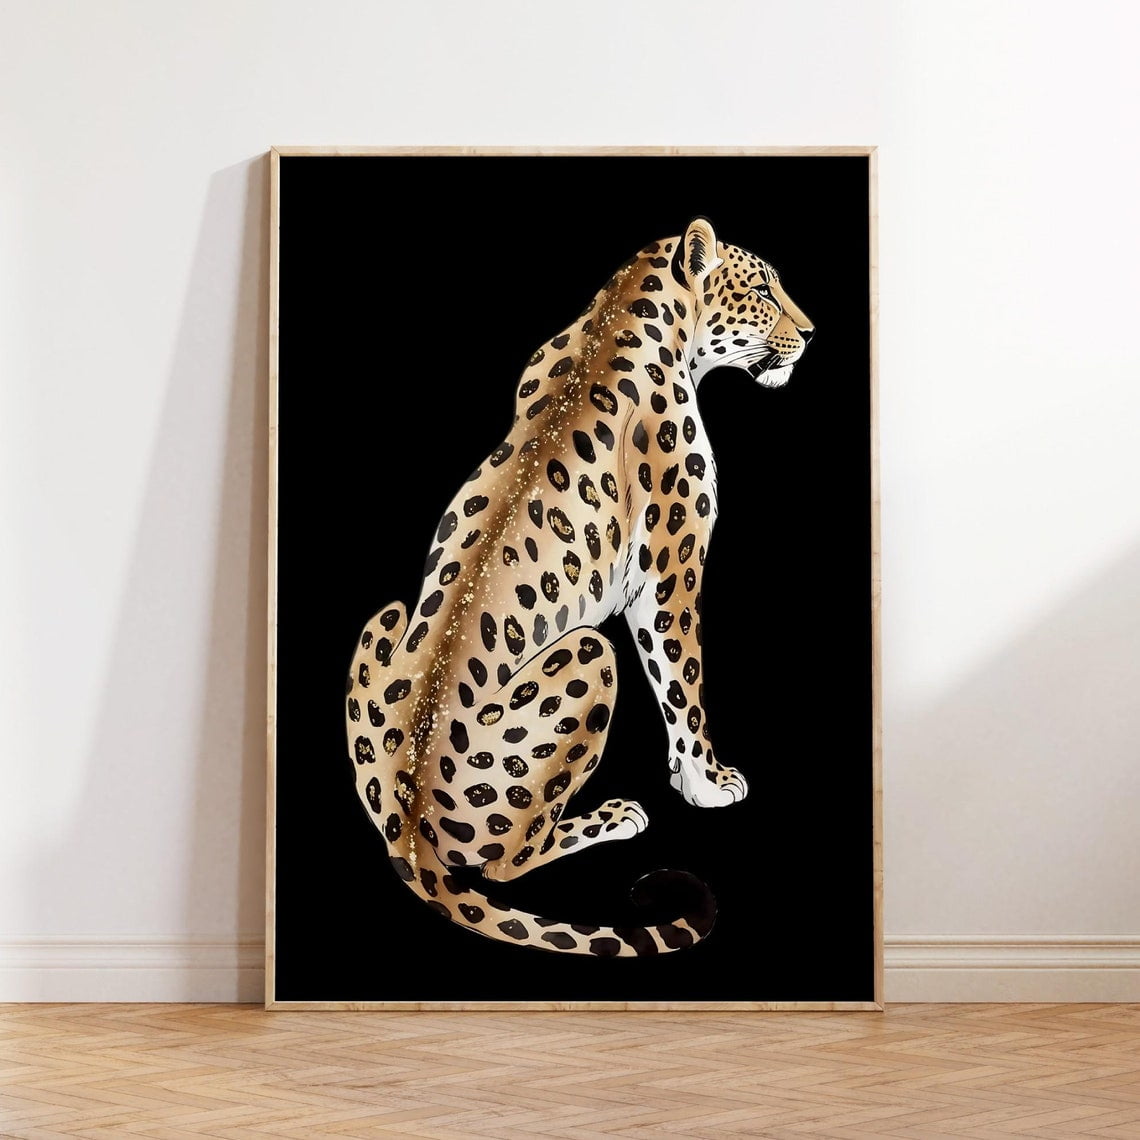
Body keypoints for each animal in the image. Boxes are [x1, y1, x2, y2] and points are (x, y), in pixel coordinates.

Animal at [345, 217, 814, 956]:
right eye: (763, 290)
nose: (813, 332)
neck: (626, 311)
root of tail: (407, 825)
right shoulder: (670, 567)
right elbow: (682, 679)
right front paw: (707, 784)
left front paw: (693, 777)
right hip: (591, 655)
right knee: (504, 861)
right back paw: (615, 815)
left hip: (383, 618)